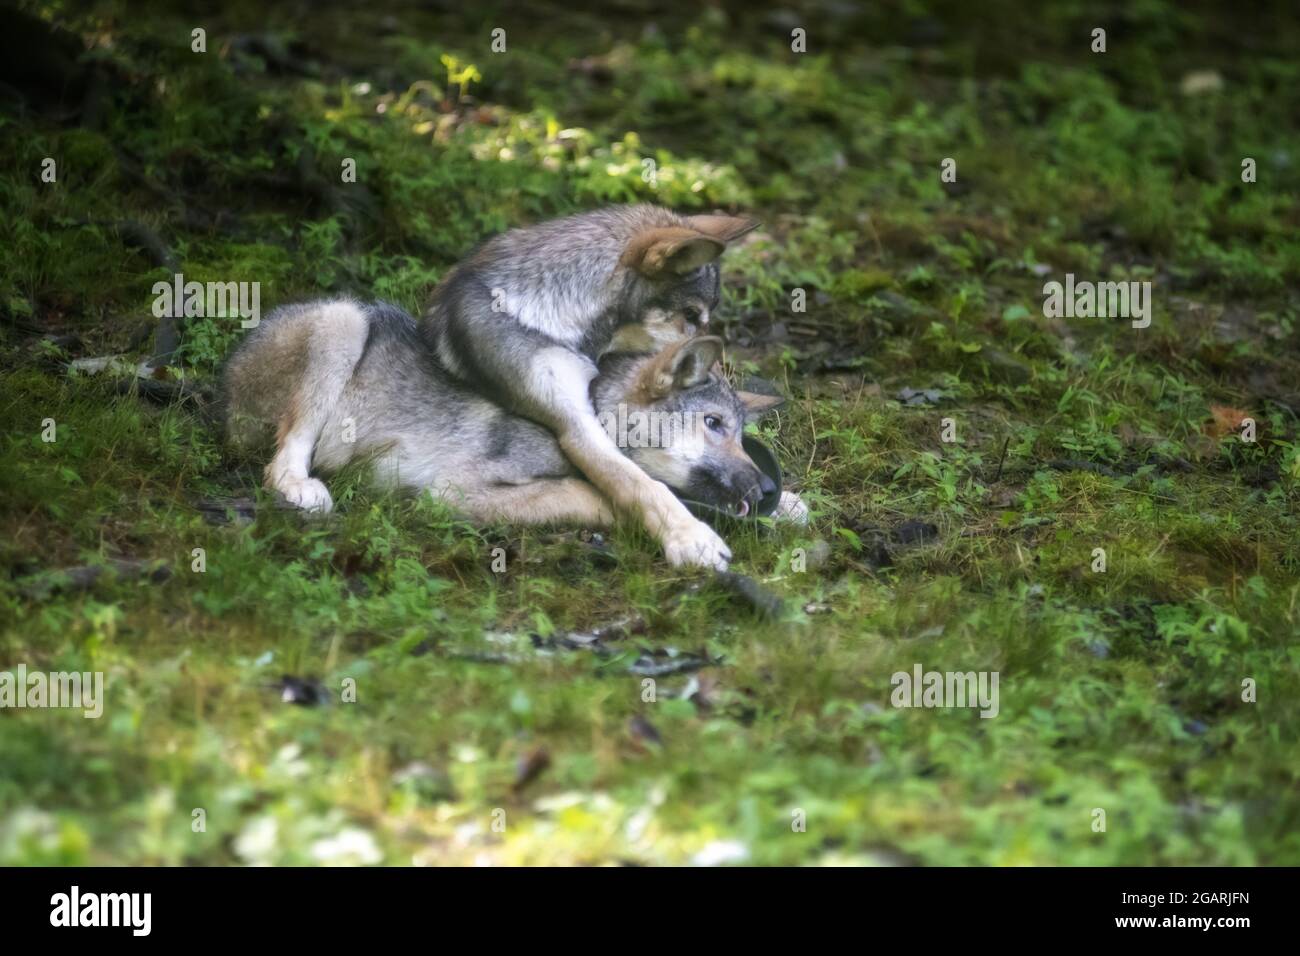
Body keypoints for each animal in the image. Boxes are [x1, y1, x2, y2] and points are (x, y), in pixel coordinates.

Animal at [223, 299, 801, 532]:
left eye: (740, 434)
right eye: (713, 424)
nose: (766, 489)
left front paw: (790, 504)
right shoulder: (452, 494)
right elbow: (593, 496)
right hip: (343, 322)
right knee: (279, 461)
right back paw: (302, 487)